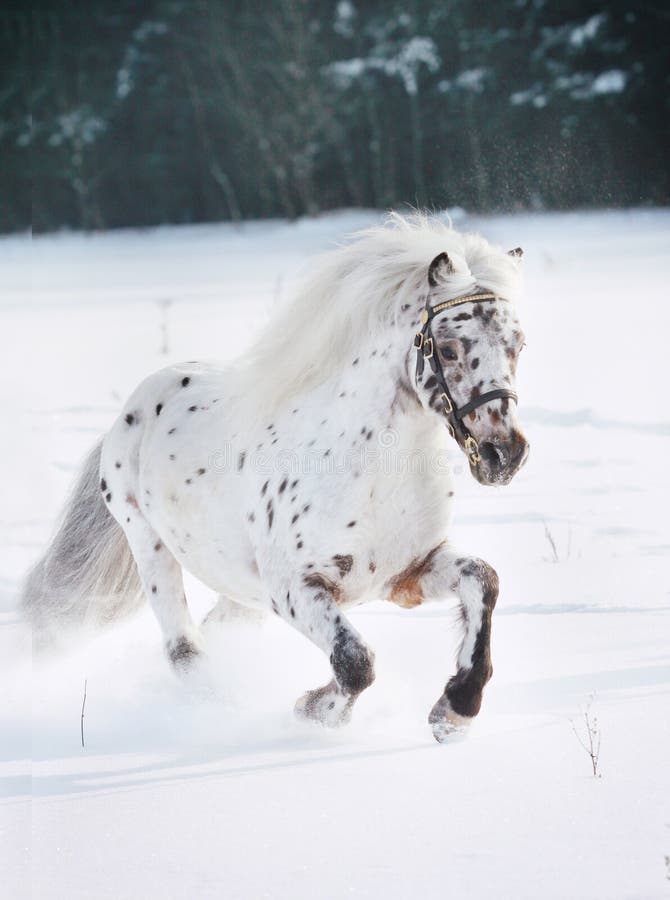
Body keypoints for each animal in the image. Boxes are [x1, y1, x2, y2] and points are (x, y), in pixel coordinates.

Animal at [22, 212, 529, 742]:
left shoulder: (408, 573)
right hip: (148, 542)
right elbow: (355, 662)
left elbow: (484, 580)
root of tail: (132, 409)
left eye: (518, 345)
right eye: (448, 349)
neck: (373, 474)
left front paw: (455, 711)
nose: (504, 455)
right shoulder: (294, 588)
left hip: (239, 587)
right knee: (184, 649)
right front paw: (313, 710)